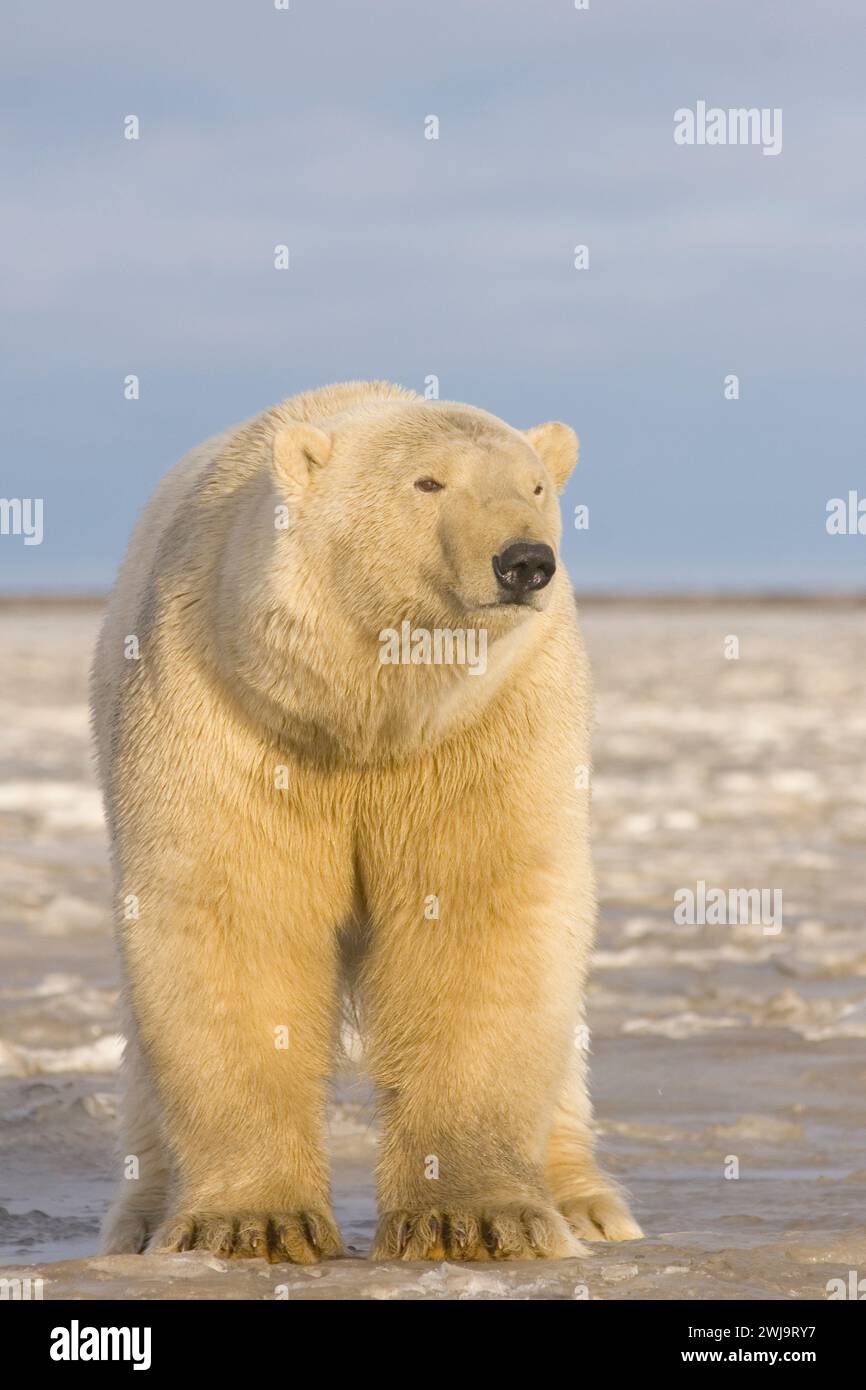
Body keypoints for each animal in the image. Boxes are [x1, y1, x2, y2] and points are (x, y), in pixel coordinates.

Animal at [92, 380, 642, 1262]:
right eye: (428, 482)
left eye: (535, 486)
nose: (524, 561)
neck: (363, 715)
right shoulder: (226, 708)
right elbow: (234, 912)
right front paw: (251, 1224)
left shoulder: (490, 726)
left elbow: (479, 916)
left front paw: (477, 1220)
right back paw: (139, 1221)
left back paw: (588, 1204)